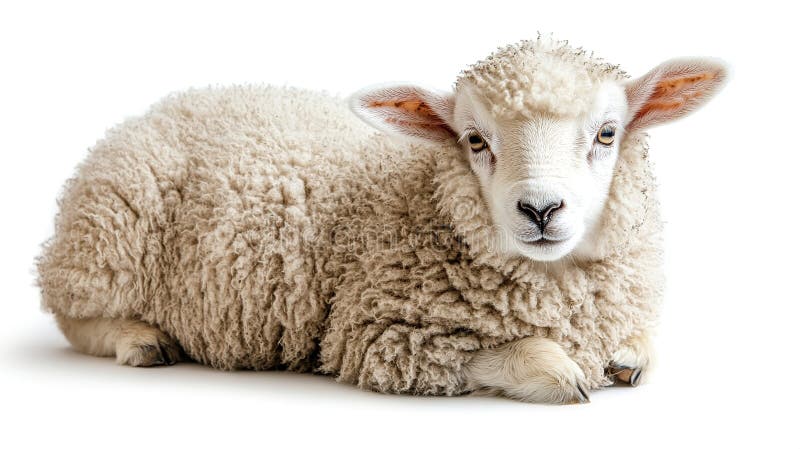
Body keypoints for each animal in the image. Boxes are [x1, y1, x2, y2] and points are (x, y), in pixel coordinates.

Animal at [36, 36, 727, 403]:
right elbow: (509, 356)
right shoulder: (381, 334)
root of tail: (151, 112)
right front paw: (560, 370)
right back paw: (141, 339)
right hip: (106, 240)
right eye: (475, 140)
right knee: (74, 318)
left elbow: (641, 348)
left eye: (608, 133)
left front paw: (624, 356)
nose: (540, 208)